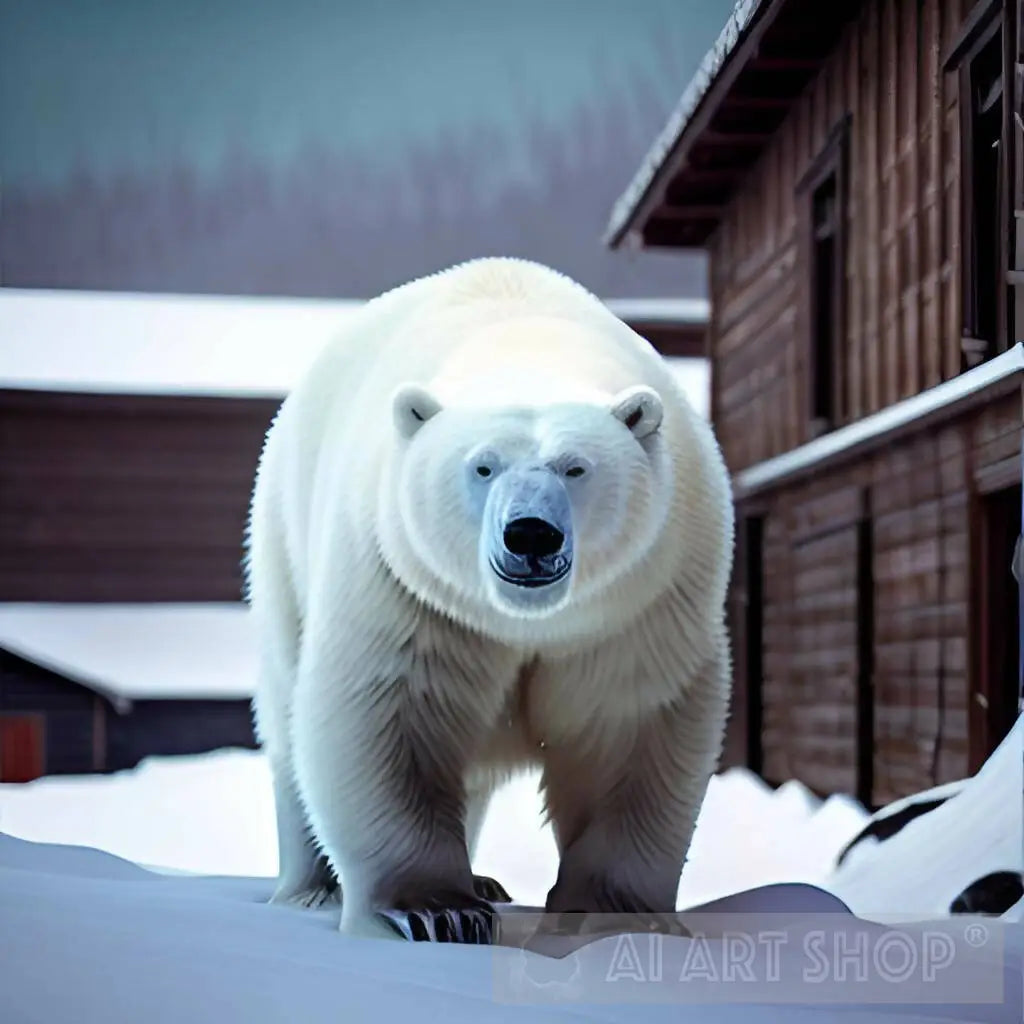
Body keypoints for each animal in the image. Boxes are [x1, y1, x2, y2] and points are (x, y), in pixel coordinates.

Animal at [244, 257, 734, 943]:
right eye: (482, 466)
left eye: (575, 467)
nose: (530, 533)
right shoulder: (408, 589)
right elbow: (391, 711)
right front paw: (434, 911)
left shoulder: (635, 606)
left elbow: (626, 726)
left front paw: (614, 915)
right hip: (282, 550)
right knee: (288, 720)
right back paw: (312, 888)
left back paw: (484, 880)